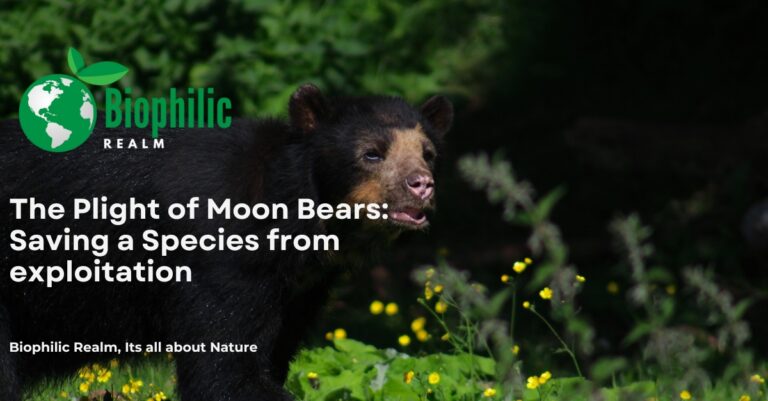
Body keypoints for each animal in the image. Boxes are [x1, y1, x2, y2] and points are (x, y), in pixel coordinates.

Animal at [0, 84, 453, 401]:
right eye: (372, 153)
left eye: (428, 153)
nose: (421, 185)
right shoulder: (221, 260)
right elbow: (223, 370)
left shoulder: (300, 290)